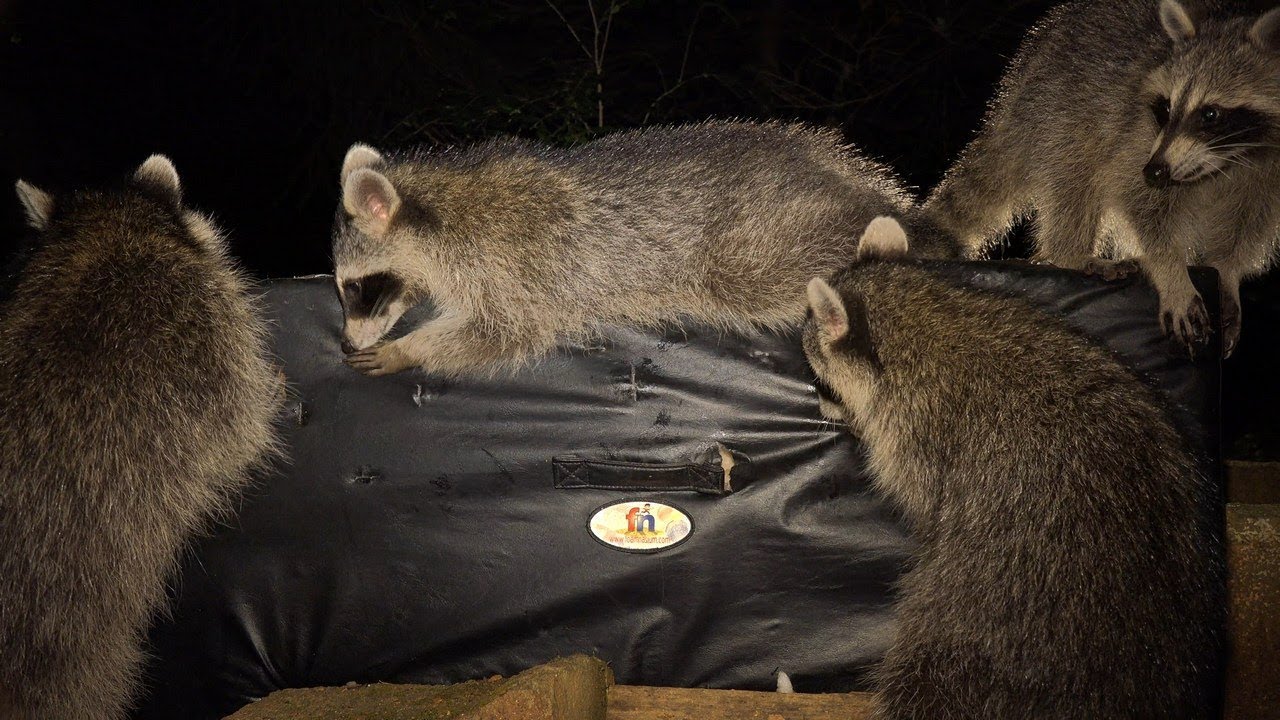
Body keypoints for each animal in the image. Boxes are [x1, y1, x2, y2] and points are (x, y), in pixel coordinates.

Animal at [333, 120, 960, 377]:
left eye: (355, 287)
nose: (344, 340)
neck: (437, 209)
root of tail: (843, 172)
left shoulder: (516, 256)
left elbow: (506, 328)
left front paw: (408, 348)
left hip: (761, 237)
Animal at [803, 217, 1224, 718]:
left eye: (820, 377)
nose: (816, 401)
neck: (923, 314)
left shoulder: (918, 429)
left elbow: (924, 500)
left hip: (992, 605)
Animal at [923, 0, 1280, 358]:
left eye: (1210, 114)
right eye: (1165, 108)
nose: (1155, 172)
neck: (1233, 156)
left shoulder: (1265, 176)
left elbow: (1247, 222)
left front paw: (1227, 274)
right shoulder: (1140, 132)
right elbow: (1136, 195)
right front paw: (1170, 268)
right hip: (1059, 102)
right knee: (1075, 172)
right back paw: (1071, 252)